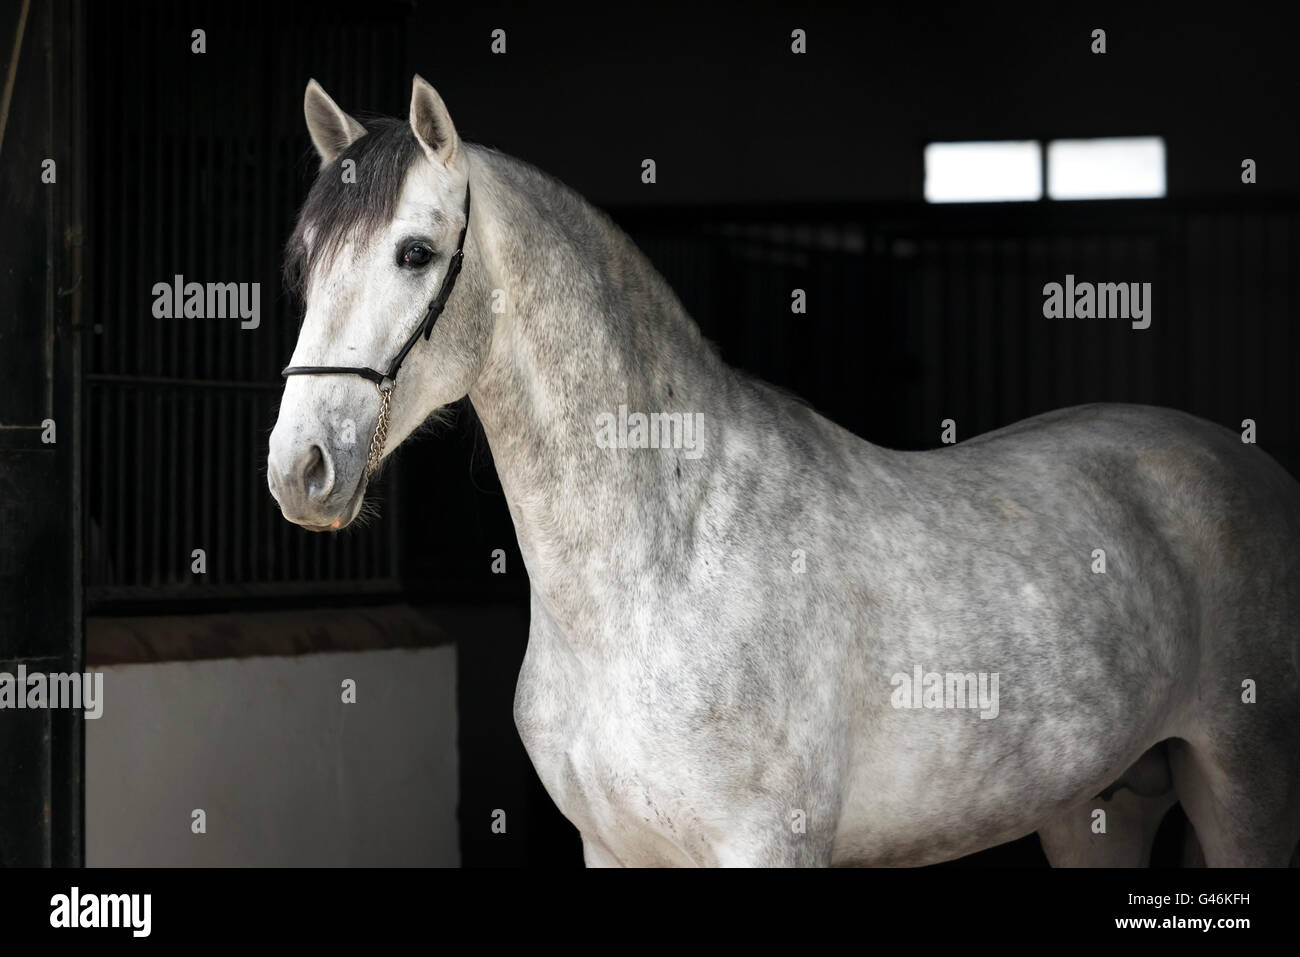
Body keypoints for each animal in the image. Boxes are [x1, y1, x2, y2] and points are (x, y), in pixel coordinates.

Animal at [268, 75, 1300, 867]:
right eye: (305, 262)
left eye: (414, 252)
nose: (298, 468)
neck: (658, 568)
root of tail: (1260, 474)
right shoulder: (614, 849)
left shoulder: (768, 844)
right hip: (1099, 808)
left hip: (1248, 792)